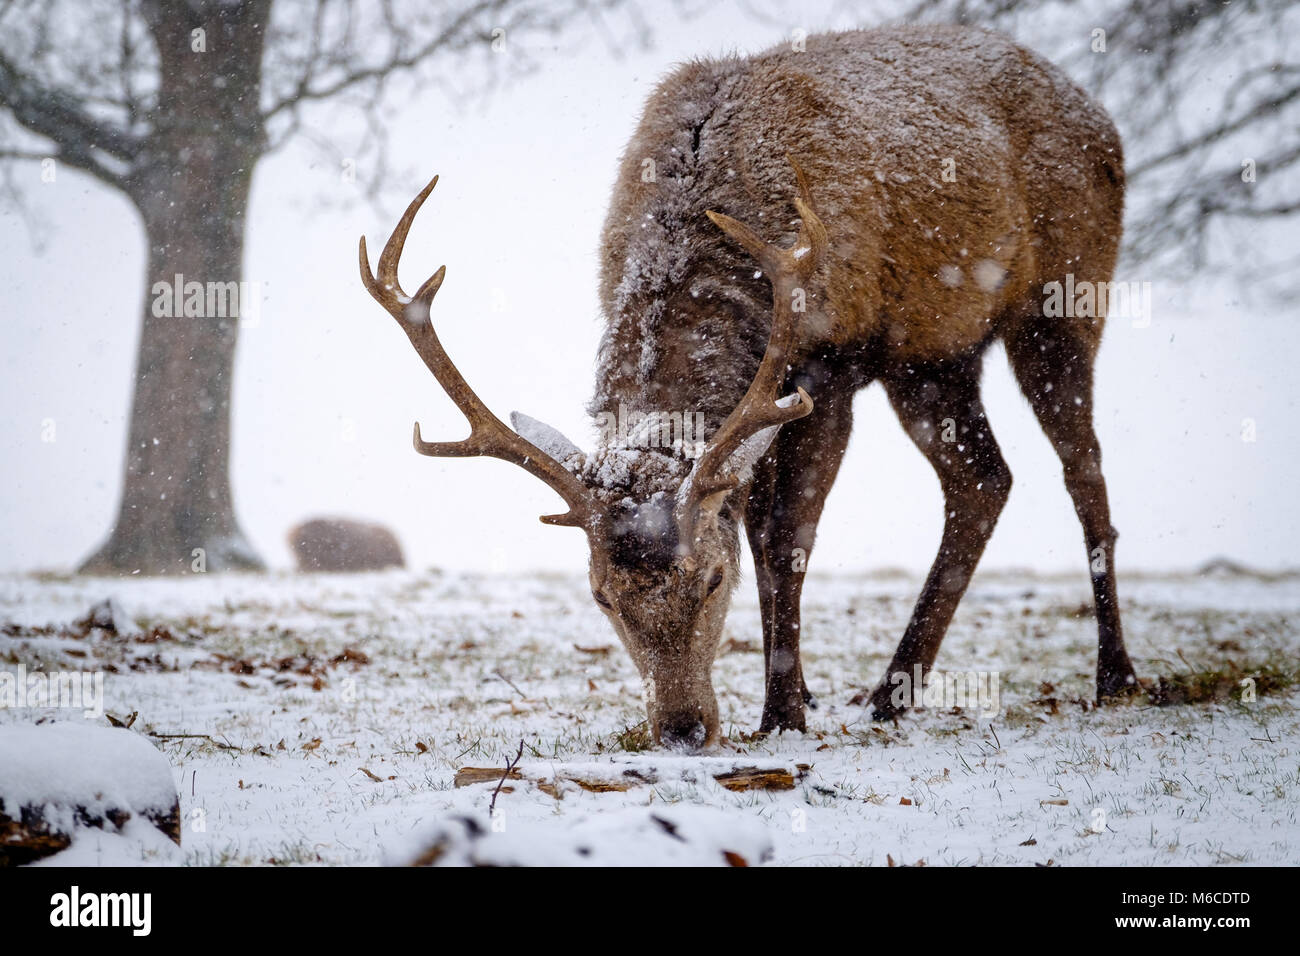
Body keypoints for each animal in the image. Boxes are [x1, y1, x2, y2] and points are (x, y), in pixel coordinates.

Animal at [359, 24, 1139, 751]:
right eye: (602, 597)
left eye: (710, 579)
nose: (680, 729)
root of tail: (1100, 114)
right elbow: (765, 529)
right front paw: (801, 693)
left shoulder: (827, 365)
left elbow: (782, 537)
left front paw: (782, 713)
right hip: (932, 356)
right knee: (983, 479)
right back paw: (891, 693)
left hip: (1065, 295)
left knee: (1083, 467)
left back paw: (1115, 675)